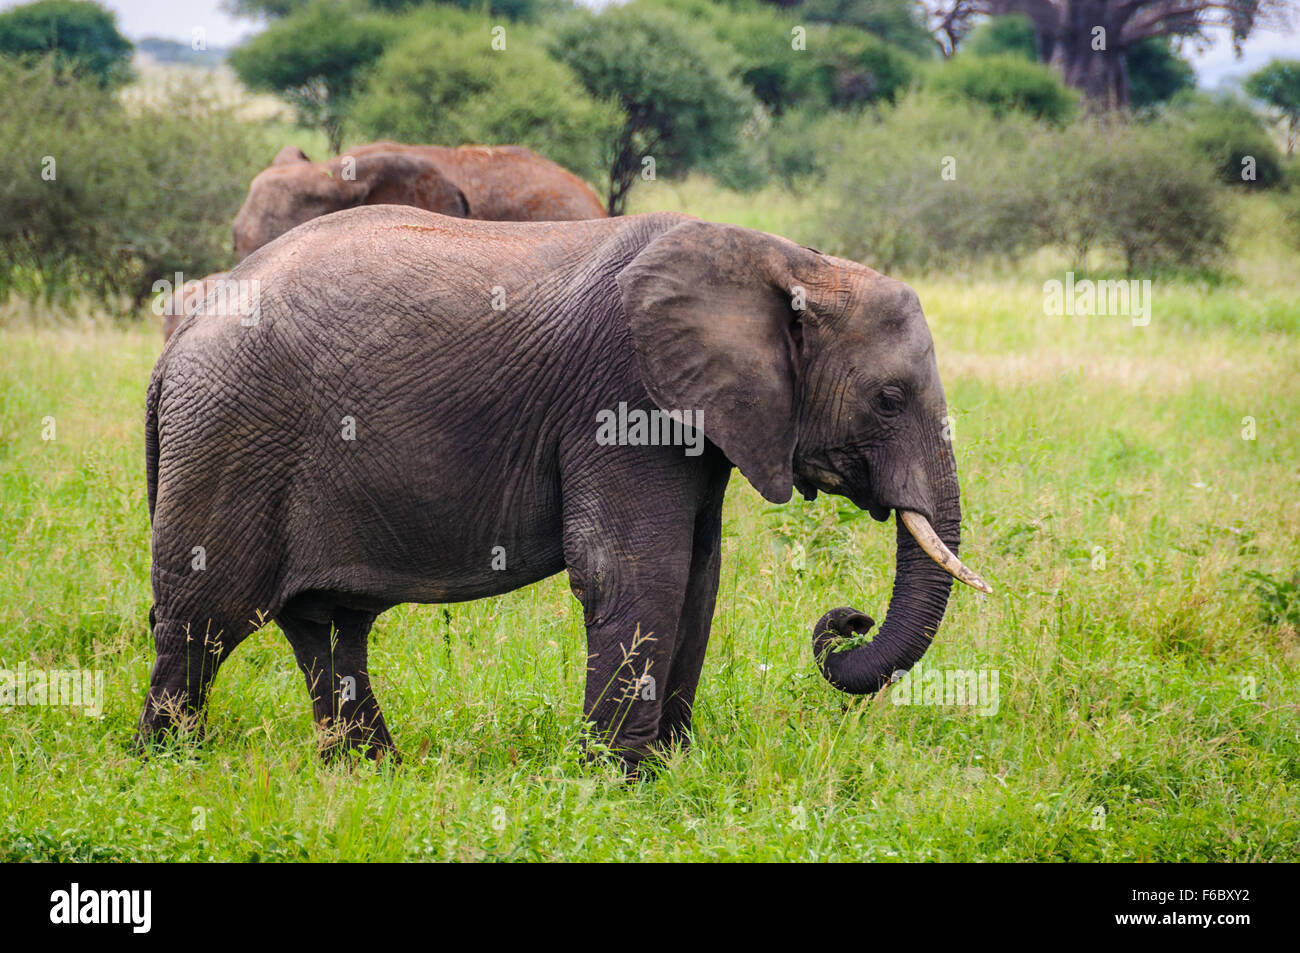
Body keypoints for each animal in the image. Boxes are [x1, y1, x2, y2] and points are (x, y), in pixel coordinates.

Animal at [136, 206, 991, 771]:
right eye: (889, 399)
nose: (848, 619)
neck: (788, 261)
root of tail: (179, 336)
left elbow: (699, 574)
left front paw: (670, 768)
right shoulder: (622, 397)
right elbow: (635, 569)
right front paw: (618, 780)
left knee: (327, 625)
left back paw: (373, 769)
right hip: (230, 434)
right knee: (202, 620)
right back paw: (167, 767)